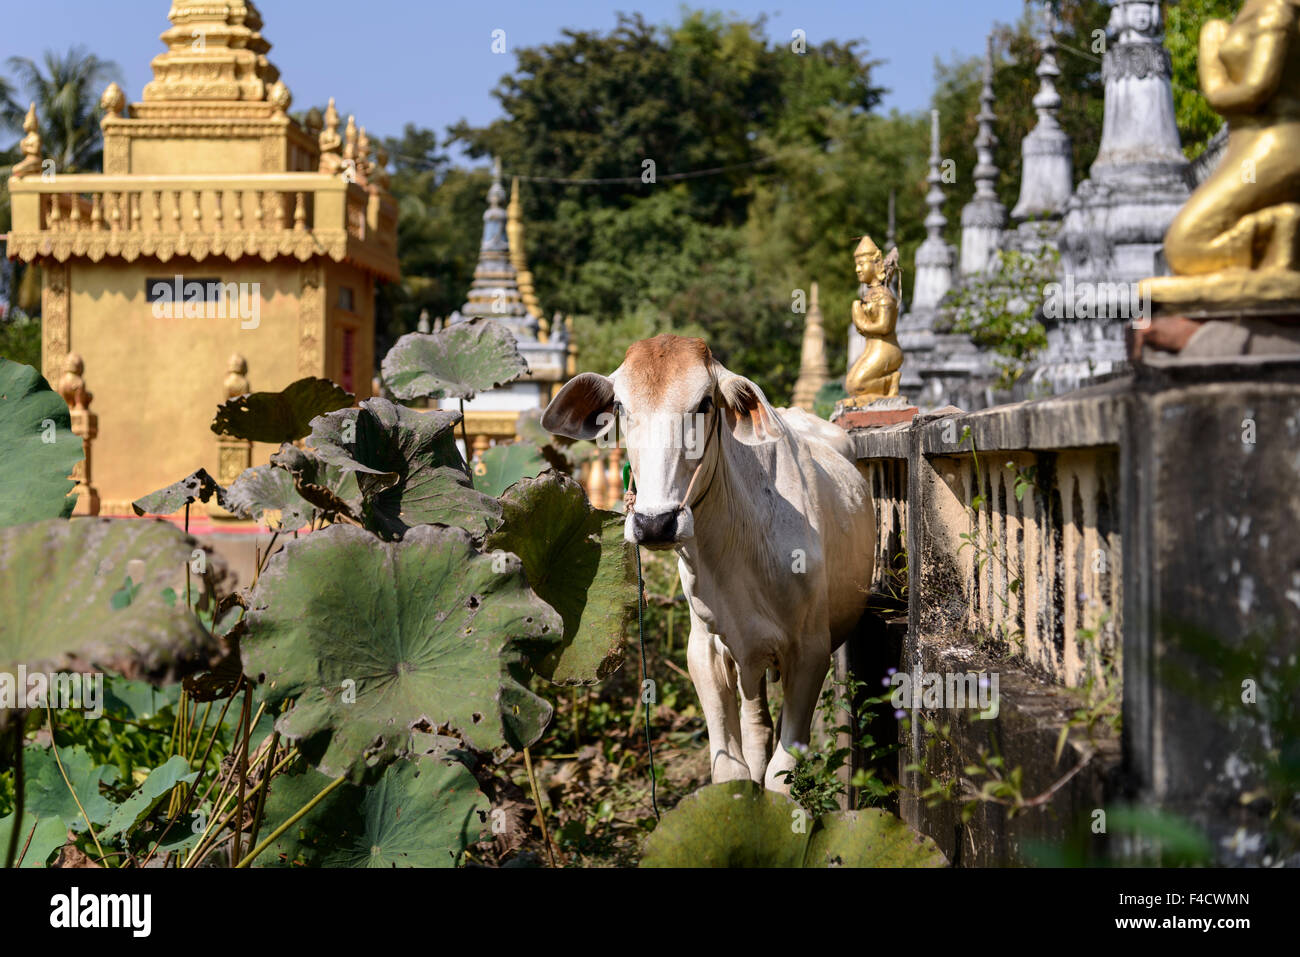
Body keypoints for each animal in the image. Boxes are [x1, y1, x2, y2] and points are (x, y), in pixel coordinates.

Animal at [542, 334, 876, 792]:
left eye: (703, 403)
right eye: (621, 407)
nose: (655, 522)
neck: (738, 548)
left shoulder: (810, 653)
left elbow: (782, 772)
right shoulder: (706, 649)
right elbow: (732, 769)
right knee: (756, 729)